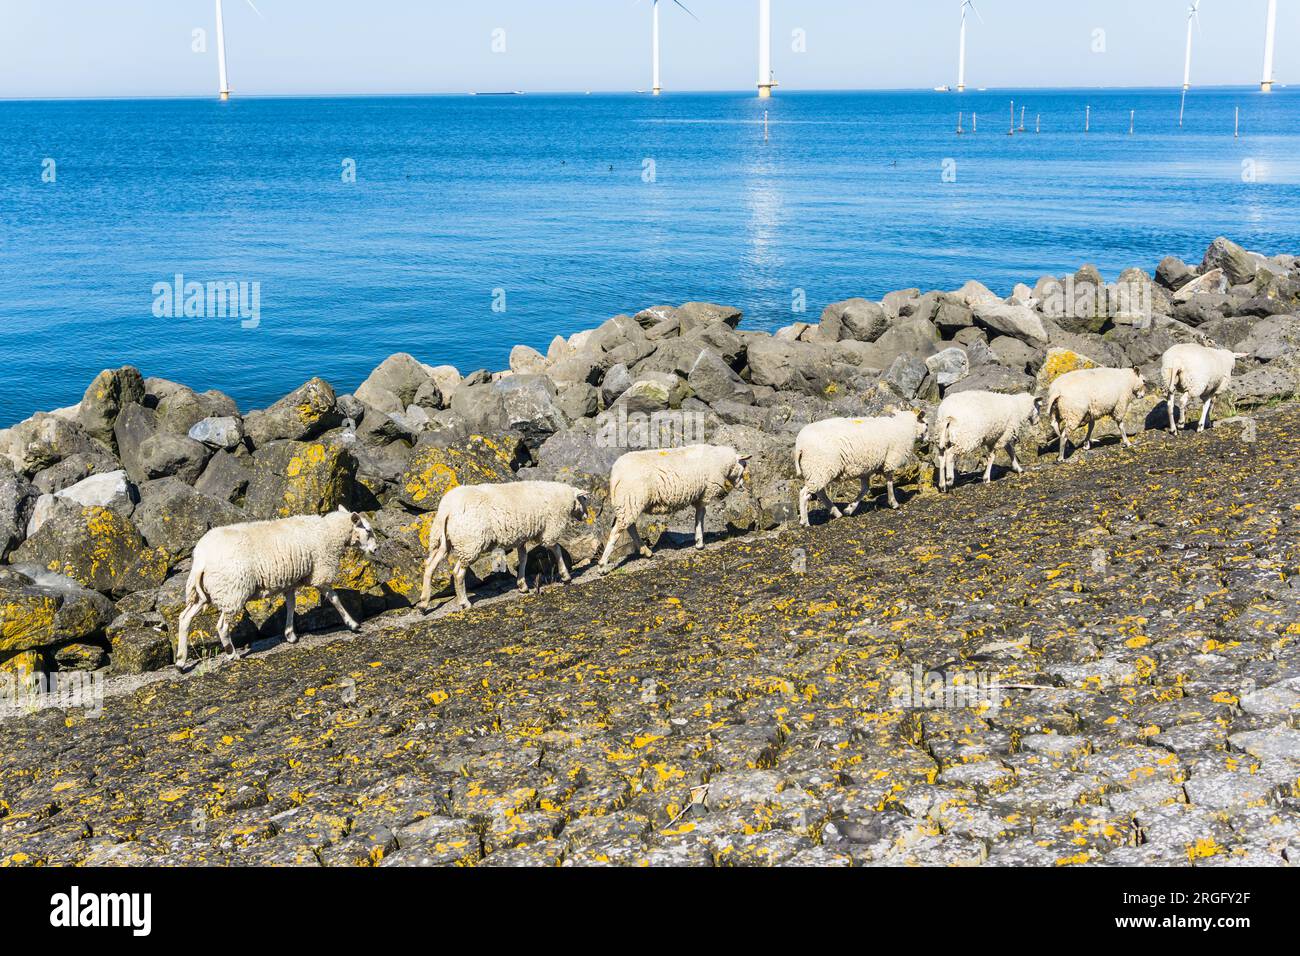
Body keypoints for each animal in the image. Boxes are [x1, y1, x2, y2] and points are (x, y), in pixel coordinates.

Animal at [176, 506, 377, 670]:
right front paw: (352, 623)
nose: (375, 550)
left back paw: (180, 661)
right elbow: (334, 598)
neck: (329, 532)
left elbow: (291, 605)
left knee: (185, 618)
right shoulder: (319, 572)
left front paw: (290, 635)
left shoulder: (290, 581)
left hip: (202, 594)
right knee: (222, 626)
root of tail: (201, 558)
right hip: (232, 590)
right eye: (368, 530)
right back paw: (232, 654)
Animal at [417, 481, 591, 610]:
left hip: (443, 541)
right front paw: (565, 576)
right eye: (584, 499)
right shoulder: (549, 529)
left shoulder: (521, 537)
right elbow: (556, 549)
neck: (562, 498)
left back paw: (424, 603)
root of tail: (447, 509)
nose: (586, 516)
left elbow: (523, 558)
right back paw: (465, 603)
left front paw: (522, 585)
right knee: (458, 573)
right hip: (470, 543)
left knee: (430, 566)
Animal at [597, 445, 750, 572]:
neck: (720, 460)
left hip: (627, 502)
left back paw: (646, 551)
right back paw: (602, 566)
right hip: (631, 499)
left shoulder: (699, 495)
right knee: (617, 531)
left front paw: (698, 540)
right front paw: (700, 543)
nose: (742, 486)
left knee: (629, 526)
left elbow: (698, 516)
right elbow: (700, 516)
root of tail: (615, 473)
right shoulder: (706, 493)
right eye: (743, 467)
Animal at [794, 409, 928, 527]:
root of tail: (799, 445)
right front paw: (893, 503)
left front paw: (850, 509)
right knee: (805, 494)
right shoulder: (890, 460)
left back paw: (836, 512)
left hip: (817, 470)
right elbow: (890, 483)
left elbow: (864, 489)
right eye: (926, 424)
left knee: (820, 491)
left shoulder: (866, 469)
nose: (928, 439)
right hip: (820, 467)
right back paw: (805, 522)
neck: (904, 427)